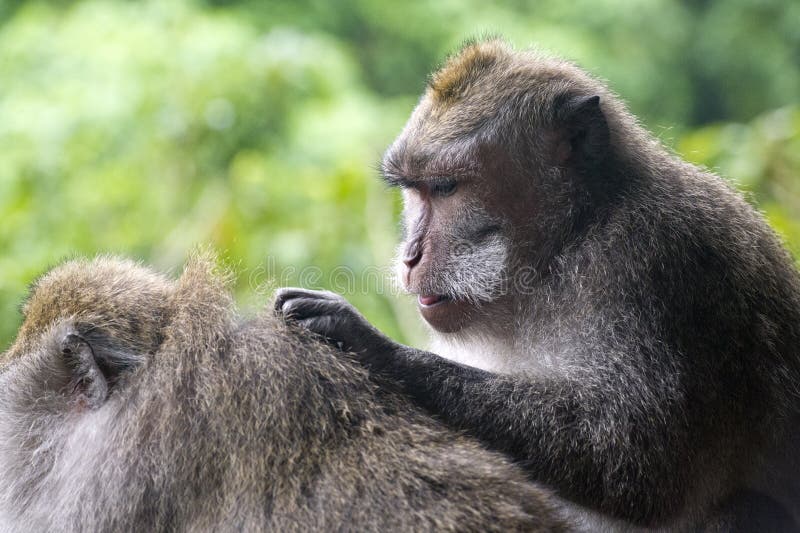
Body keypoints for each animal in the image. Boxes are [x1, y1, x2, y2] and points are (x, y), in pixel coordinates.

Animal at [275, 39, 800, 530]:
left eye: (444, 188)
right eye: (413, 190)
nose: (410, 256)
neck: (572, 239)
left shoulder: (660, 265)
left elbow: (644, 461)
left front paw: (374, 346)